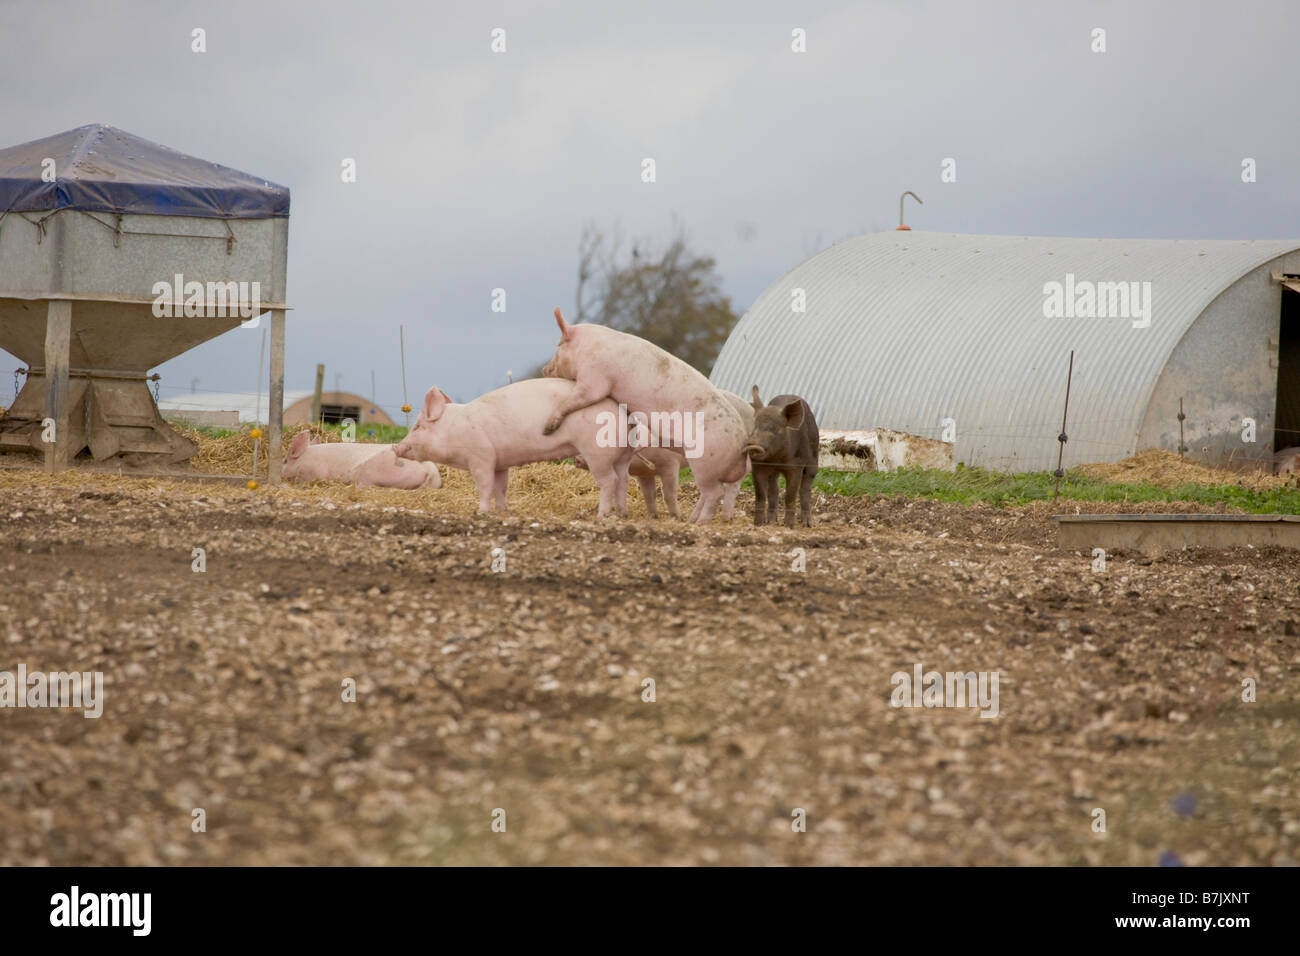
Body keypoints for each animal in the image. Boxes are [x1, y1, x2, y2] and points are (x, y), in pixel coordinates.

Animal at [392, 379, 636, 516]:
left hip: (596, 453)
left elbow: (484, 486)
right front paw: (502, 511)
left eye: (417, 427)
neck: (454, 430)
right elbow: (500, 487)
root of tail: (621, 415)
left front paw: (481, 512)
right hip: (622, 457)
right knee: (623, 479)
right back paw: (621, 513)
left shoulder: (481, 457)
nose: (396, 446)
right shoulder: (500, 463)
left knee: (609, 481)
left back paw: (602, 515)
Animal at [540, 308, 749, 524]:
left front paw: (547, 428)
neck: (588, 347)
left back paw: (699, 523)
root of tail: (741, 441)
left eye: (559, 345)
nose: (543, 369)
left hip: (705, 462)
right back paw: (692, 520)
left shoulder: (594, 378)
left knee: (715, 493)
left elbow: (579, 397)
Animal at [744, 387, 819, 527]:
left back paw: (807, 524)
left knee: (805, 489)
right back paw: (771, 521)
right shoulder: (758, 466)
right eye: (755, 426)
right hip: (774, 474)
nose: (752, 444)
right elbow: (761, 495)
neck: (776, 459)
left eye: (773, 429)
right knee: (774, 490)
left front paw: (789, 526)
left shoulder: (796, 466)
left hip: (814, 459)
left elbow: (790, 495)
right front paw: (758, 524)